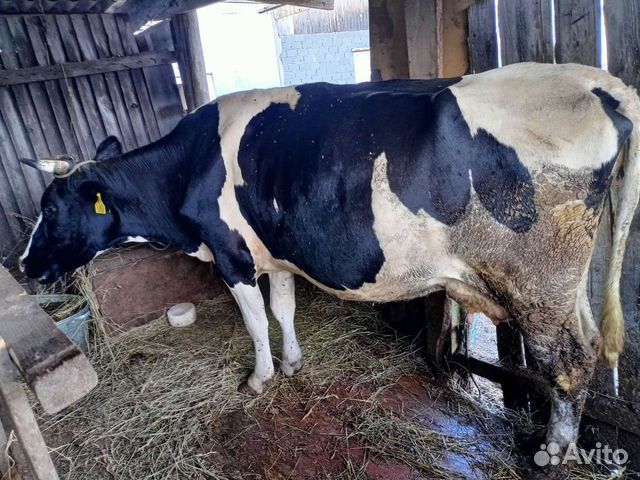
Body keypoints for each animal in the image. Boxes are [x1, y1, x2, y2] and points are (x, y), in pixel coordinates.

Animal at [18, 62, 640, 453]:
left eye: (49, 208)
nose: (23, 266)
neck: (185, 168)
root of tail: (596, 81)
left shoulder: (232, 256)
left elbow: (255, 322)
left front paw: (260, 378)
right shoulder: (277, 255)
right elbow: (284, 310)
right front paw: (293, 363)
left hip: (536, 285)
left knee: (569, 364)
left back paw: (553, 451)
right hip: (565, 287)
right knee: (586, 347)